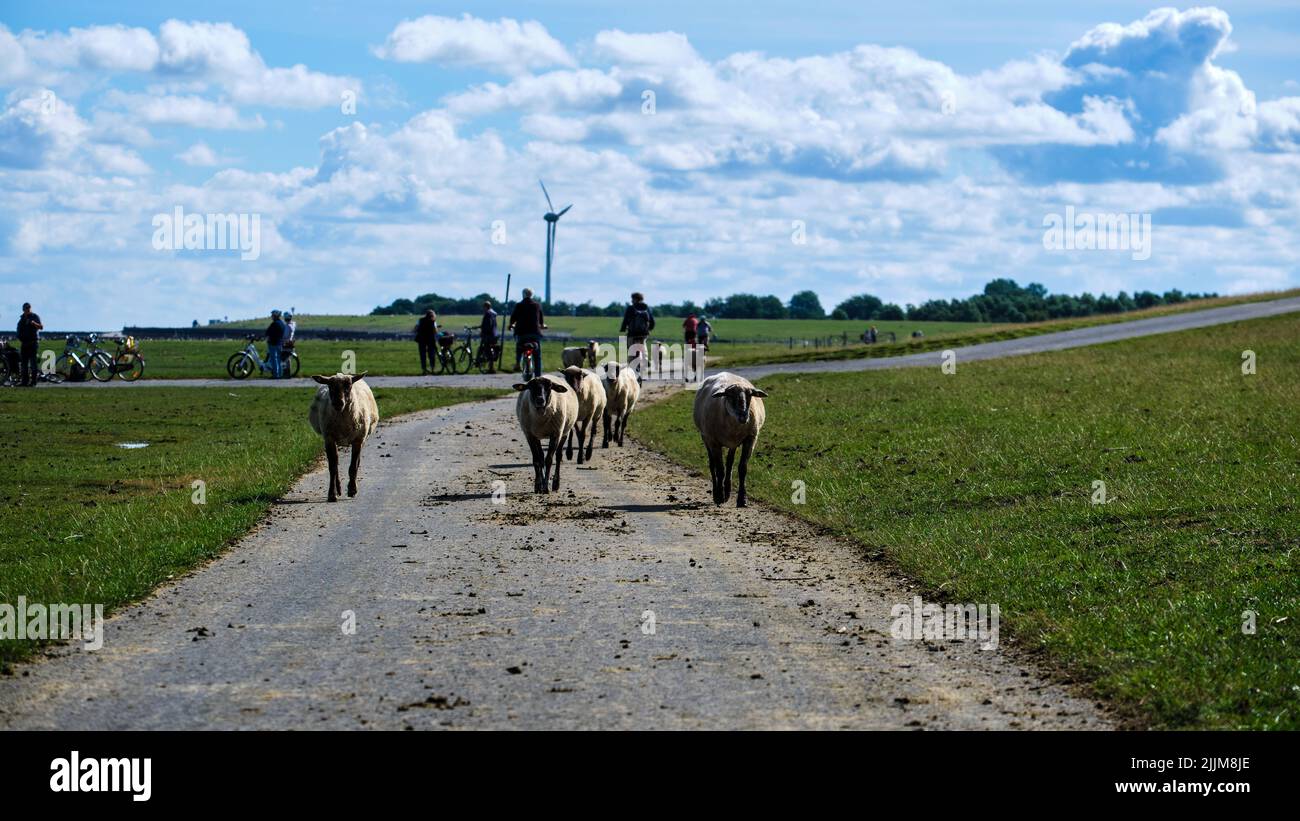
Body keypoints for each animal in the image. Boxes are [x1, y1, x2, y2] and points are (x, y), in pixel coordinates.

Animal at [308, 372, 379, 502]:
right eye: (330, 386)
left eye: (348, 386)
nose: (338, 403)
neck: (343, 423)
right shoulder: (329, 439)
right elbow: (332, 467)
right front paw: (332, 494)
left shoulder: (358, 440)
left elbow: (353, 466)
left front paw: (352, 490)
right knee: (335, 464)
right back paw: (338, 489)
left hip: (362, 439)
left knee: (356, 462)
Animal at [693, 371, 767, 507]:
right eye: (730, 396)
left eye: (750, 395)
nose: (744, 416)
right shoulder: (713, 441)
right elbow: (719, 469)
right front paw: (719, 496)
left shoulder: (751, 439)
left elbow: (742, 468)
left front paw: (742, 499)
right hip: (705, 438)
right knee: (713, 465)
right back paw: (718, 493)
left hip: (733, 444)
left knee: (730, 463)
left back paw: (727, 491)